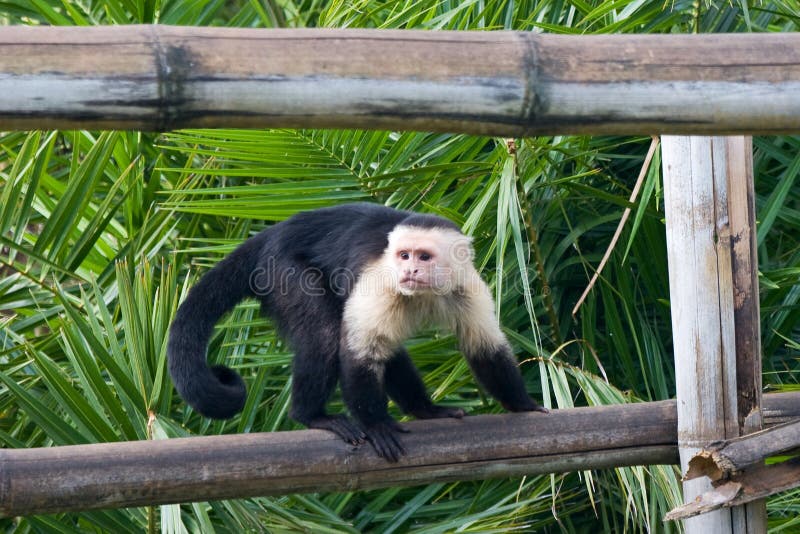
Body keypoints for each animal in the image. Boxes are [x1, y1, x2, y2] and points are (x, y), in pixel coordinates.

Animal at [168, 202, 547, 461]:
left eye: (423, 257)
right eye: (404, 255)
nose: (409, 270)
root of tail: (274, 232)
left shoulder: (467, 285)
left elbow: (484, 347)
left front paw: (523, 404)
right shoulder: (381, 282)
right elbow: (357, 352)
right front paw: (376, 425)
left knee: (388, 350)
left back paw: (426, 410)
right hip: (281, 269)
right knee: (324, 334)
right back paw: (312, 415)